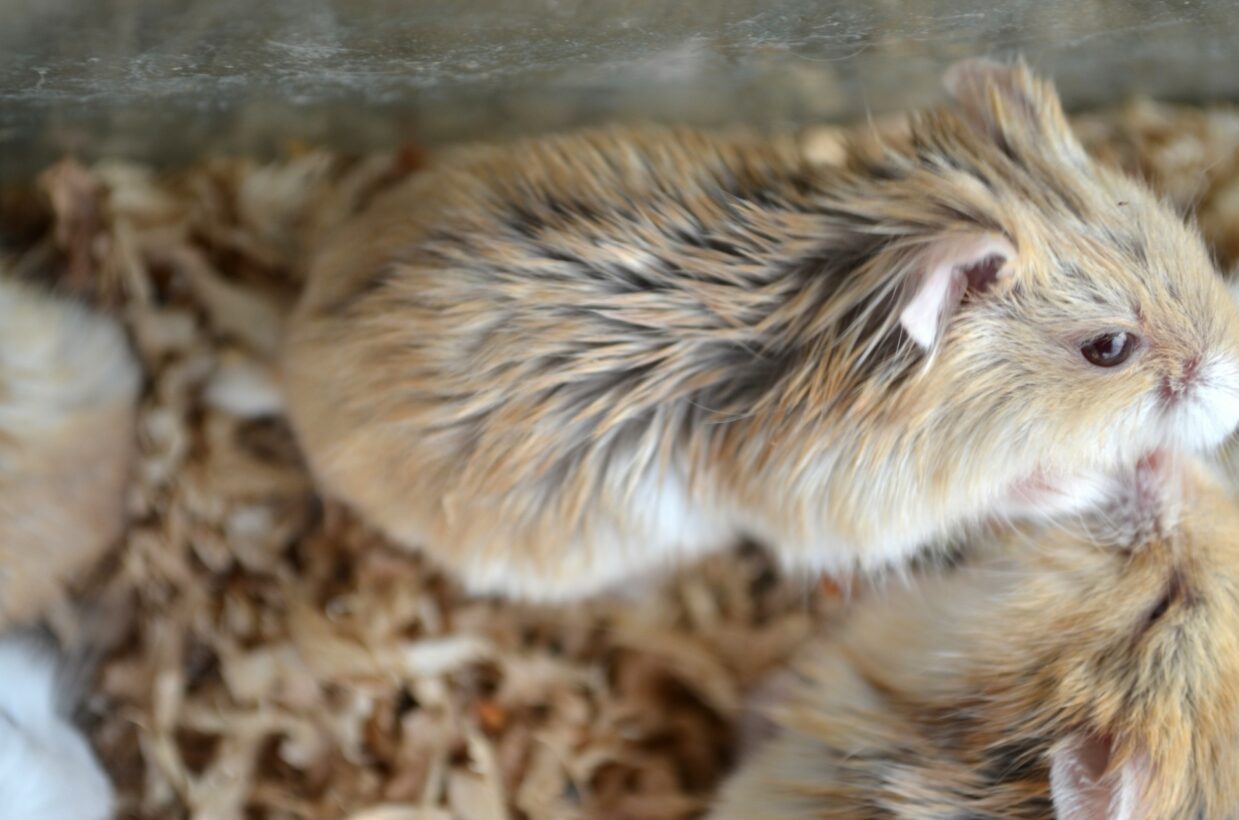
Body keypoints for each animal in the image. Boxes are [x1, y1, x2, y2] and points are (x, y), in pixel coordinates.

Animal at [282, 58, 1239, 601]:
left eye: (1178, 231)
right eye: (1107, 349)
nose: (1232, 402)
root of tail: (297, 355)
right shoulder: (850, 504)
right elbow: (1005, 492)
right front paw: (1102, 476)